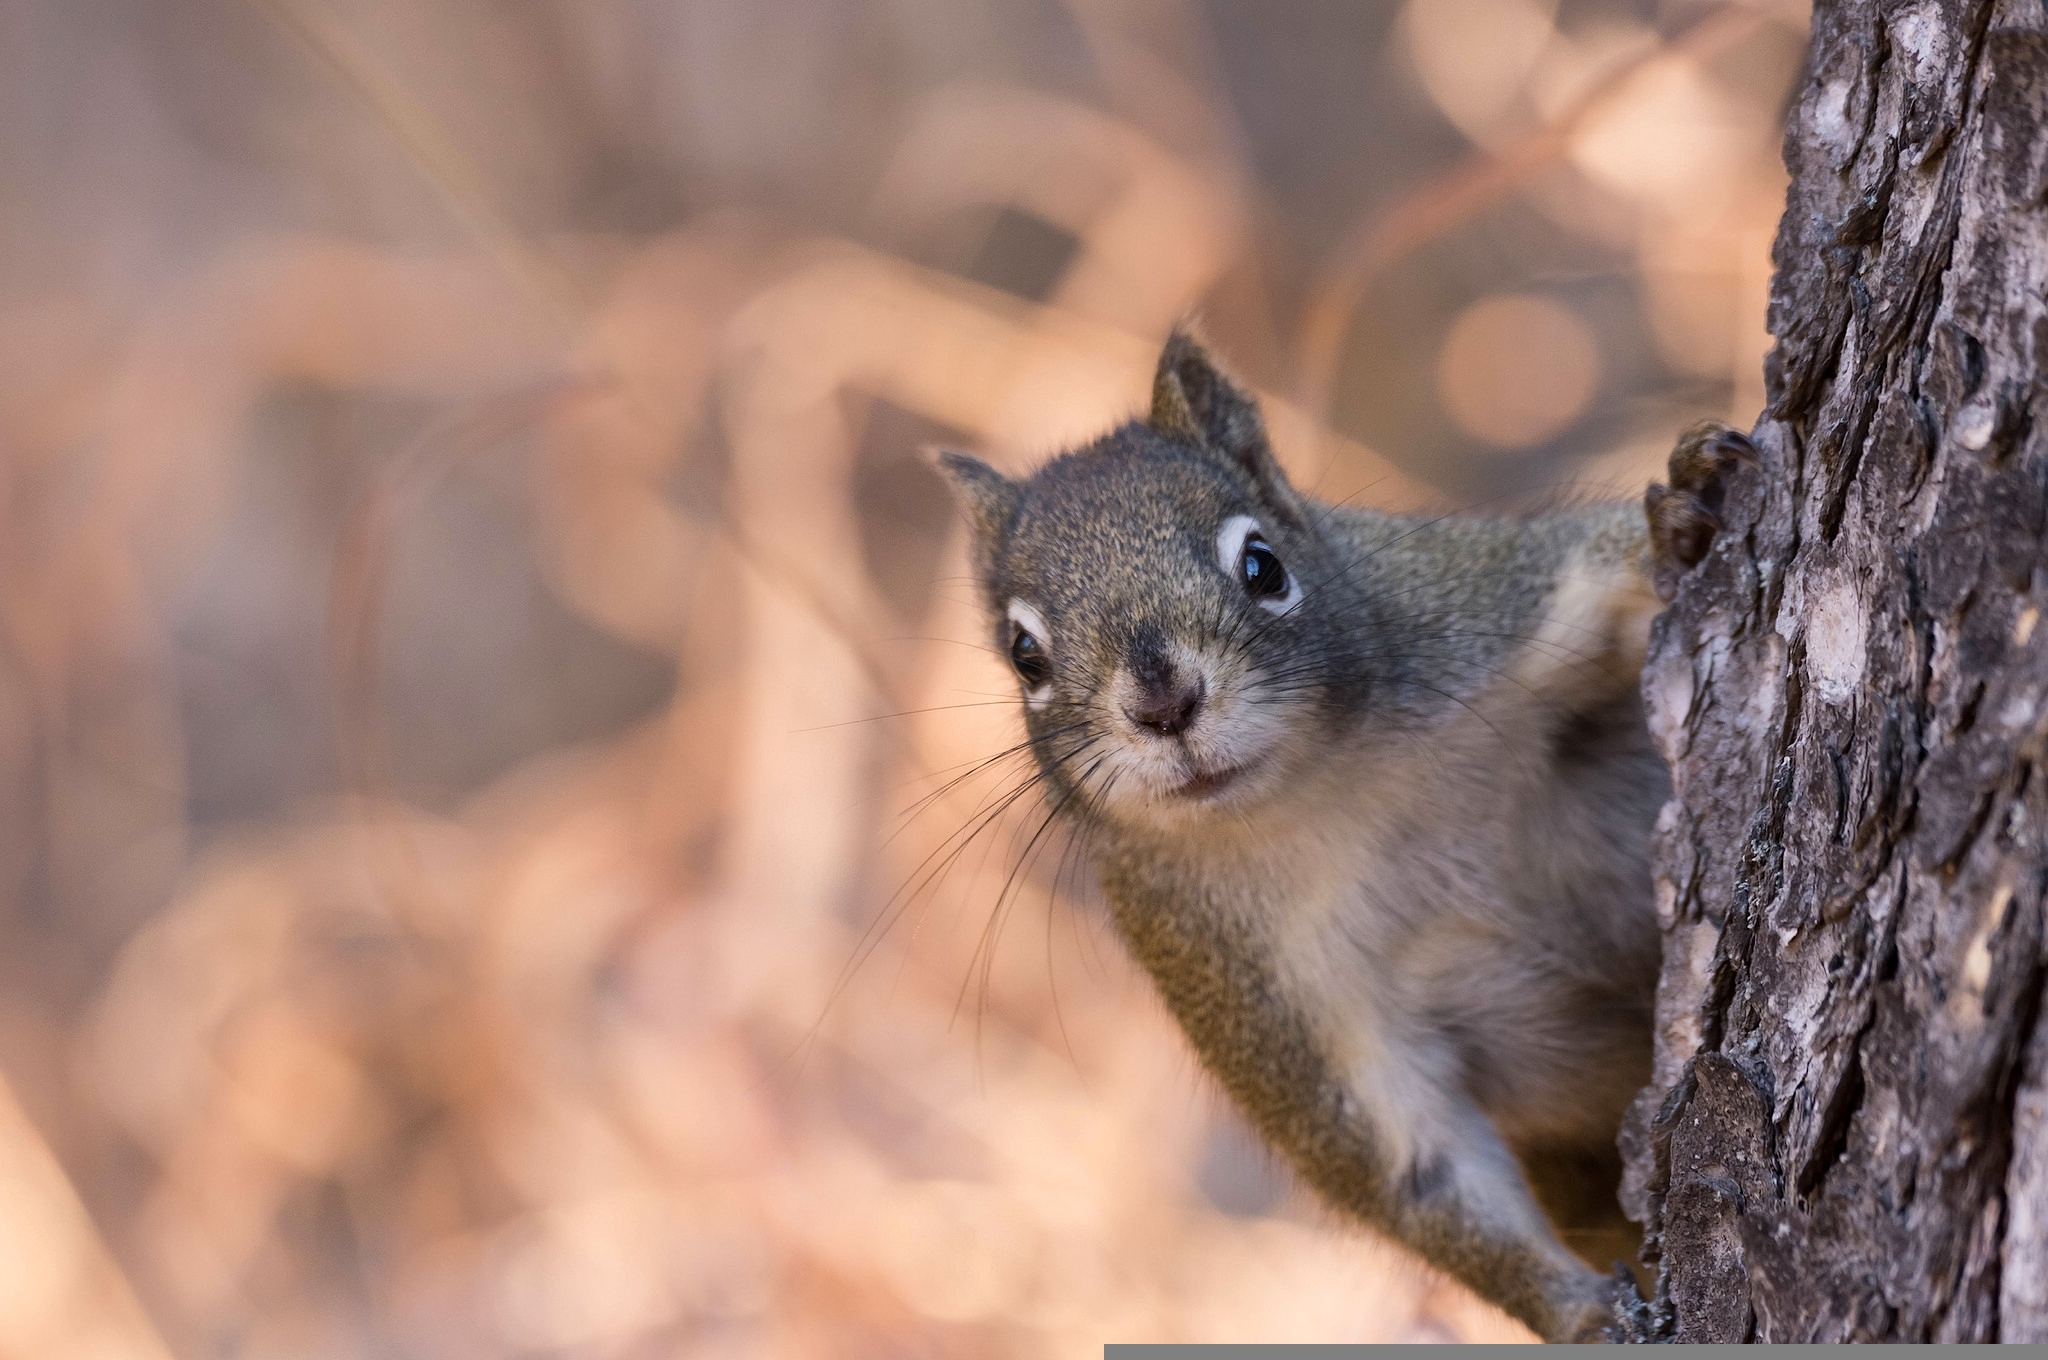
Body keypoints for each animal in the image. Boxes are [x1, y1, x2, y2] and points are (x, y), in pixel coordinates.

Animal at [936, 329, 1753, 1342]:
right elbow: (1417, 1171)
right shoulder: (1252, 989)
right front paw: (1583, 1318)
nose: (1164, 704)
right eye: (1024, 656)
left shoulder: (1487, 613)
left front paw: (1677, 514)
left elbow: (1600, 577)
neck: (1330, 792)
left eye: (1264, 566)